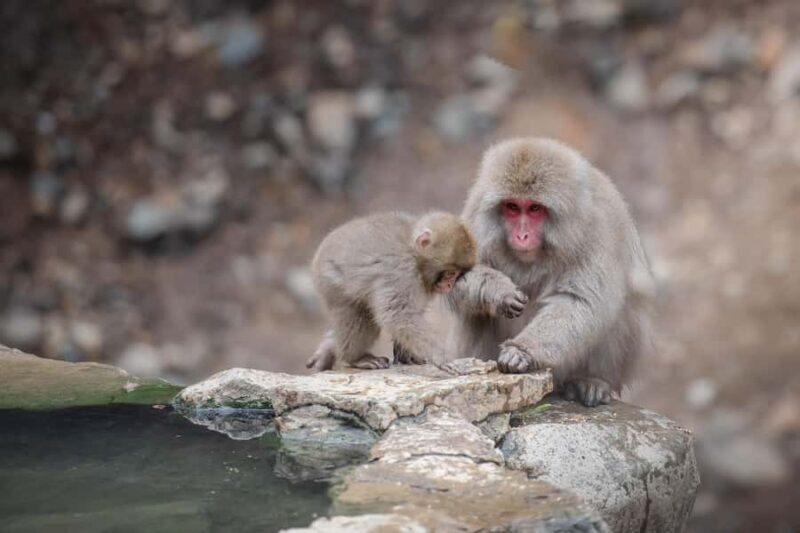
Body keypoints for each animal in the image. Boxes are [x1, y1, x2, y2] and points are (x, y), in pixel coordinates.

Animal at [306, 211, 478, 372]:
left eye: (457, 275)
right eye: (450, 273)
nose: (449, 285)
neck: (414, 254)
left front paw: (407, 354)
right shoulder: (401, 270)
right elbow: (398, 315)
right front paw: (441, 357)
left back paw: (329, 346)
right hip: (332, 282)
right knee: (360, 318)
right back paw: (355, 358)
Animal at [446, 138, 654, 407]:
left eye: (535, 208)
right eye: (512, 207)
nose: (522, 236)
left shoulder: (595, 229)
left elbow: (581, 301)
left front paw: (521, 352)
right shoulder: (475, 211)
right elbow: (453, 277)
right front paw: (499, 292)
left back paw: (592, 381)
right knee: (476, 313)